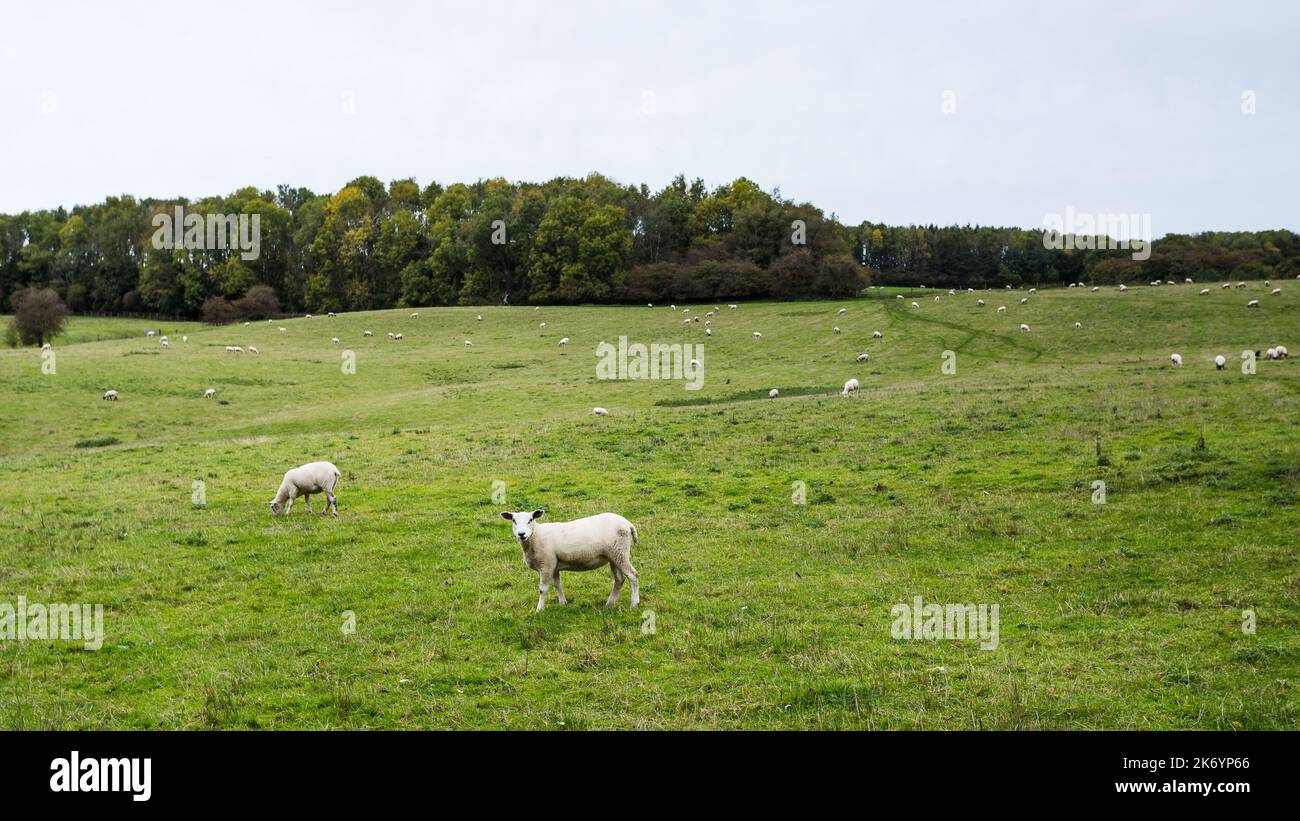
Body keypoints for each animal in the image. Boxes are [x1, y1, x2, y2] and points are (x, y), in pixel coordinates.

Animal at [500, 510, 639, 611]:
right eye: (513, 520)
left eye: (530, 520)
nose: (521, 534)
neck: (536, 535)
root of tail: (628, 524)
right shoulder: (553, 565)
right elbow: (557, 584)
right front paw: (563, 603)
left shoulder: (546, 565)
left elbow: (542, 589)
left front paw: (539, 609)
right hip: (614, 556)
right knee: (619, 579)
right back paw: (610, 603)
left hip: (620, 553)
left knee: (632, 575)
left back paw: (634, 603)